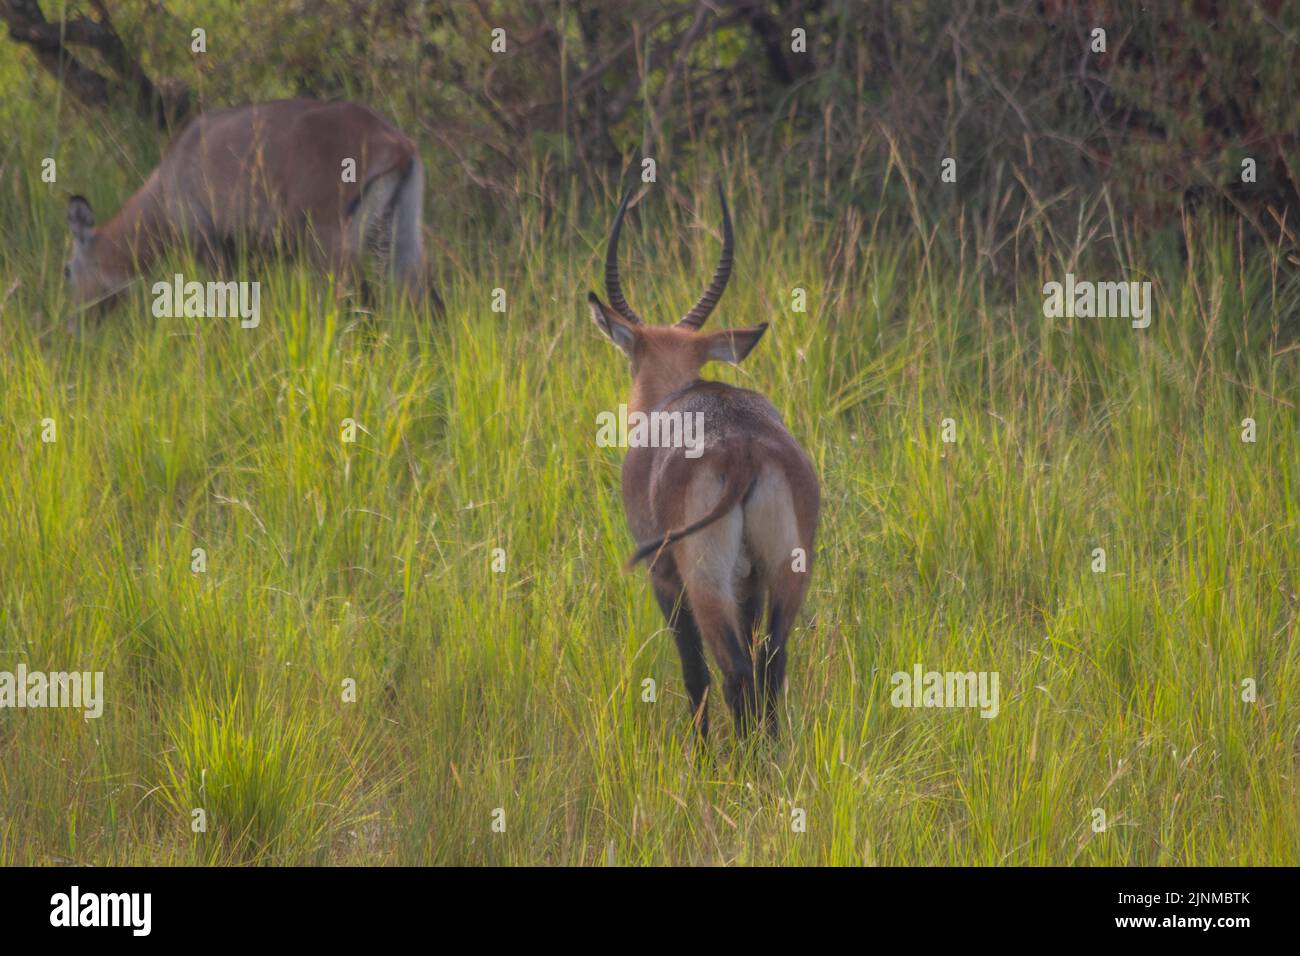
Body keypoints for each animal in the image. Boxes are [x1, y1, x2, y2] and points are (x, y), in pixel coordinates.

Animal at [64, 98, 439, 319]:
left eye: (67, 270)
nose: (73, 326)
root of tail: (397, 144)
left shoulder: (213, 250)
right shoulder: (254, 259)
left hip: (331, 248)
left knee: (355, 307)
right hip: (401, 242)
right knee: (424, 303)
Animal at [588, 186, 820, 739]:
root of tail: (745, 450)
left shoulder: (663, 578)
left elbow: (694, 673)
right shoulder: (750, 584)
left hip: (706, 582)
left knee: (733, 671)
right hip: (784, 575)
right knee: (770, 665)